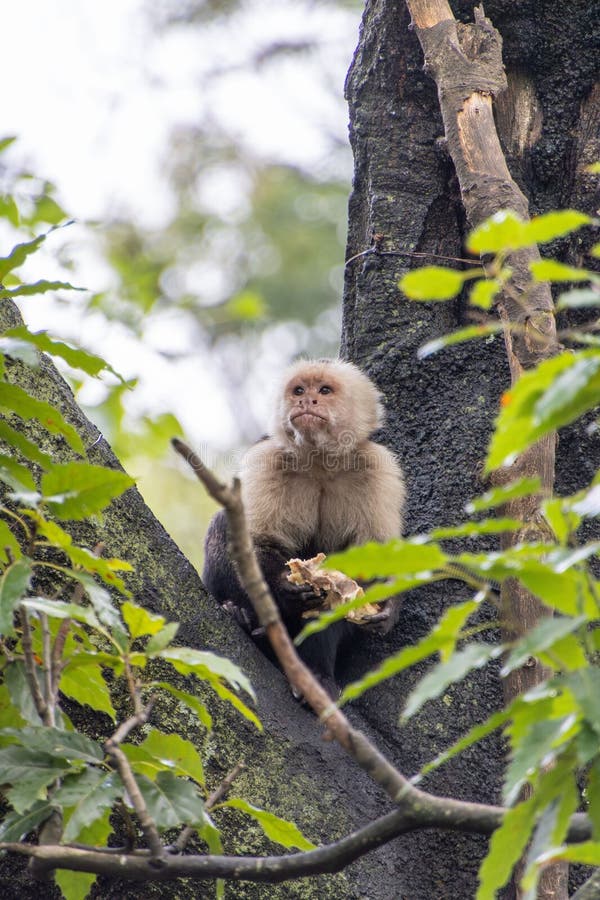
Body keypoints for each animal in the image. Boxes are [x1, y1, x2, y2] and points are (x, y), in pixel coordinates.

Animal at [202, 358, 406, 698]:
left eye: (324, 391)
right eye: (298, 390)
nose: (306, 401)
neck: (320, 461)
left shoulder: (377, 467)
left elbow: (372, 556)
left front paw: (389, 605)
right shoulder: (268, 458)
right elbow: (256, 539)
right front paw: (284, 584)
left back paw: (316, 674)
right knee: (224, 526)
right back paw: (239, 614)